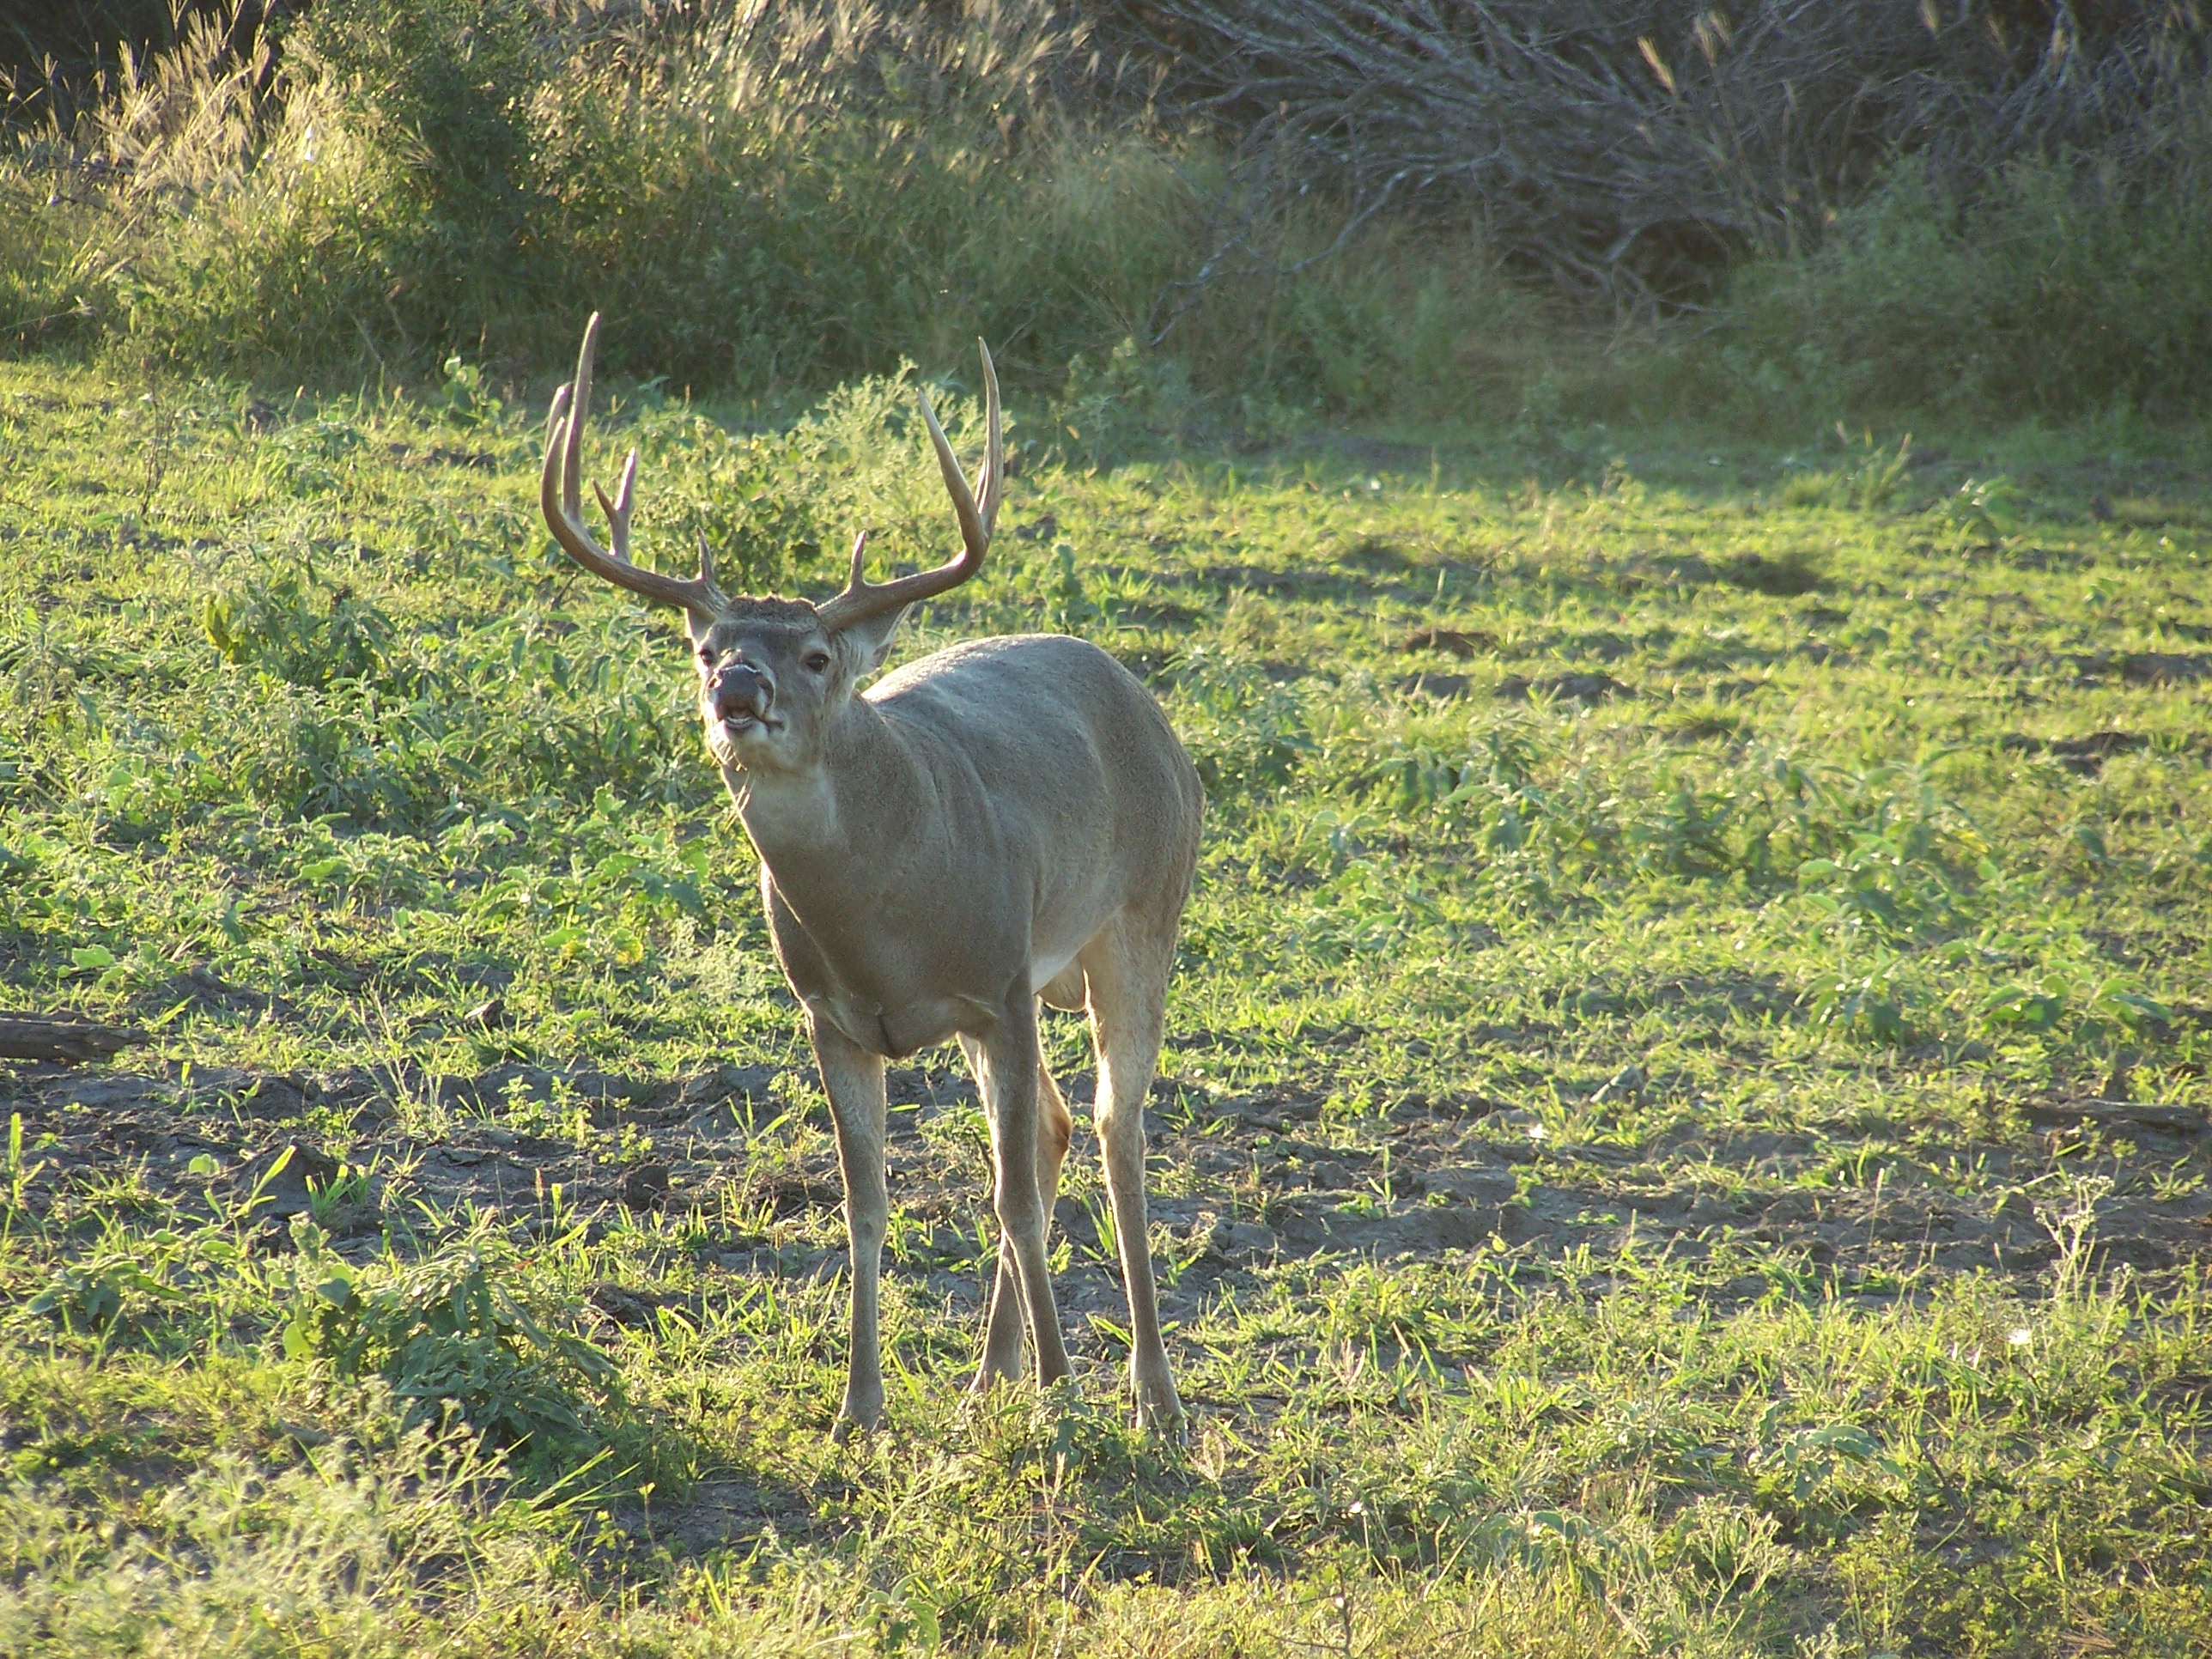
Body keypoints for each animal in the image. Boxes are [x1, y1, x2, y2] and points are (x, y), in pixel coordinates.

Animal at [537, 315, 1202, 1438]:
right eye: (706, 647)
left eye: (813, 654)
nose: (737, 687)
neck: (884, 916)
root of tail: (1143, 700)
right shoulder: (832, 1014)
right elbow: (866, 1203)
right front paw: (859, 1406)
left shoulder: (998, 984)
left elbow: (1012, 1197)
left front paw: (1061, 1398)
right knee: (1056, 1129)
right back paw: (988, 1378)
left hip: (1141, 920)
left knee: (1117, 1131)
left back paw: (1149, 1396)